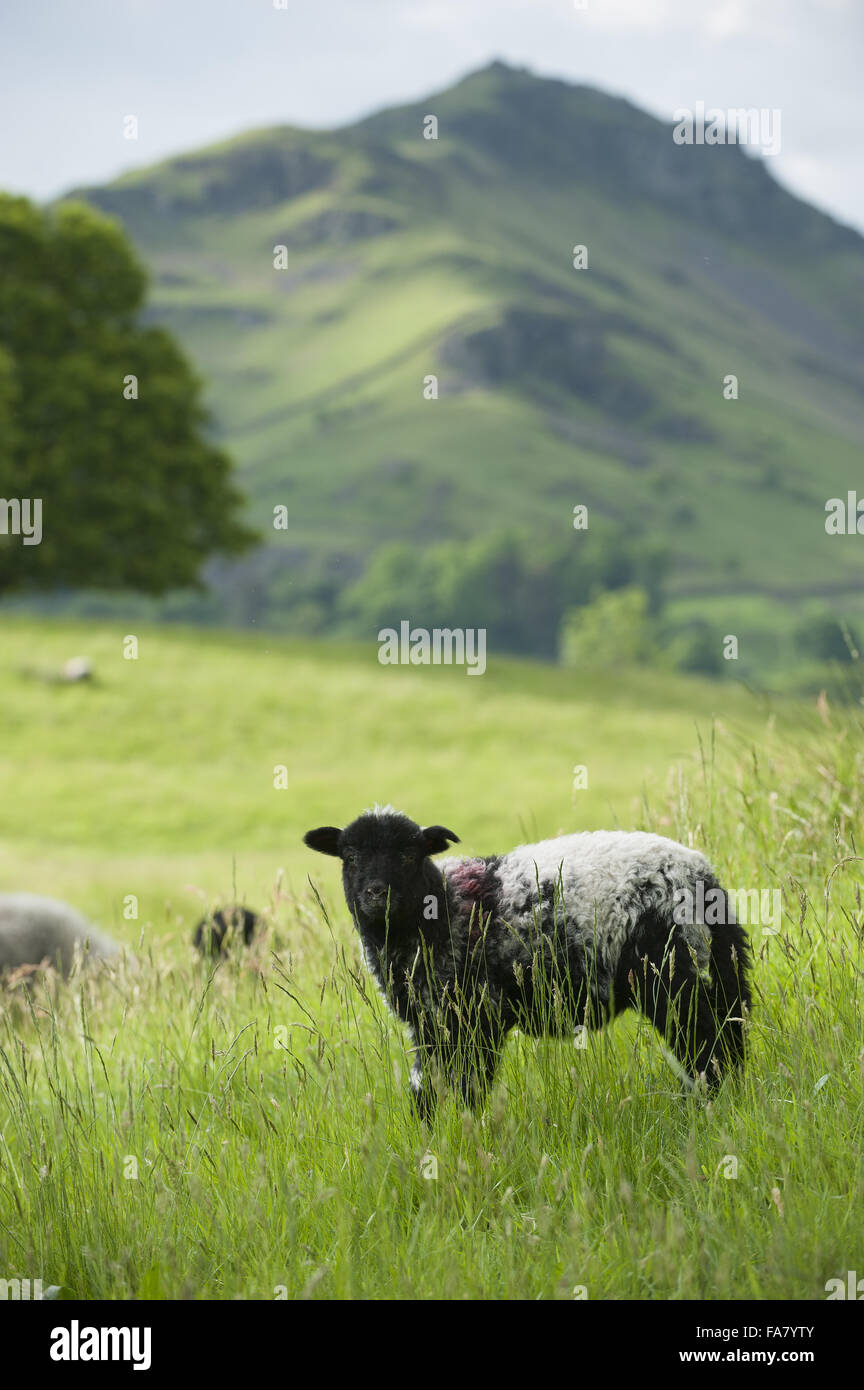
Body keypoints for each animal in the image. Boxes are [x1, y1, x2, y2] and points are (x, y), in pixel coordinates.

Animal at [304, 806, 752, 1118]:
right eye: (350, 855)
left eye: (409, 854)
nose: (377, 894)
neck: (437, 911)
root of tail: (702, 873)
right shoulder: (430, 1022)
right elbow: (425, 1089)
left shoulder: (475, 1015)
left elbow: (469, 1086)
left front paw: (467, 1134)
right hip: (719, 968)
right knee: (730, 1033)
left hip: (672, 974)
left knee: (708, 1045)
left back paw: (705, 1107)